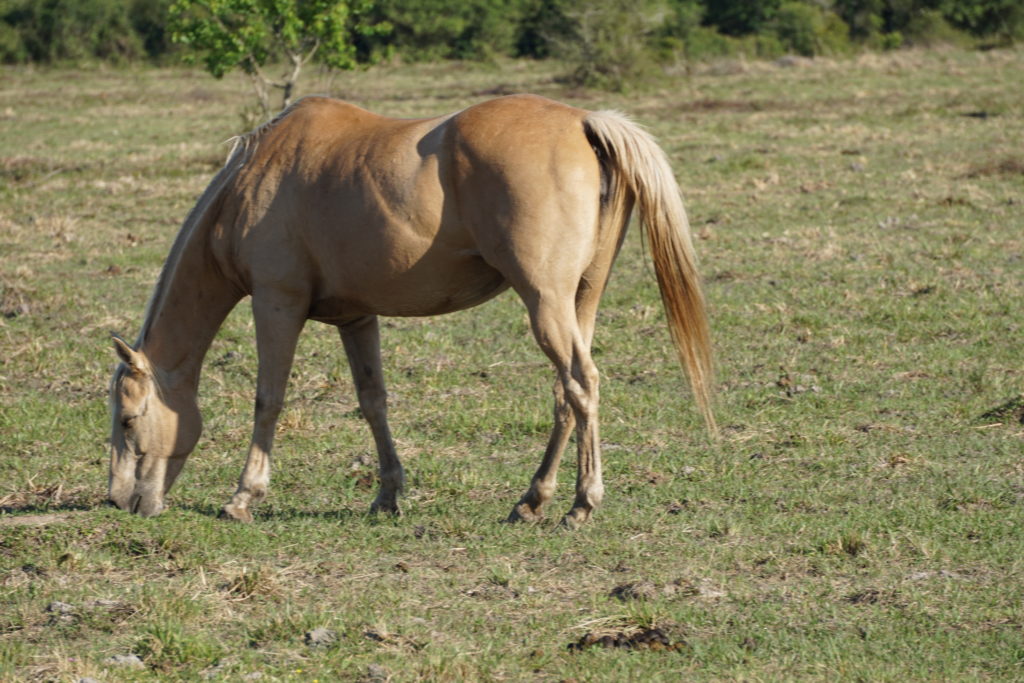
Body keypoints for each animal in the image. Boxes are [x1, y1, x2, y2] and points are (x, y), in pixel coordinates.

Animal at [107, 94, 714, 528]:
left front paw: (243, 496)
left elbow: (268, 401)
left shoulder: (277, 305)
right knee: (566, 394)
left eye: (128, 419)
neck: (254, 181)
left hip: (546, 303)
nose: (119, 501)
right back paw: (532, 501)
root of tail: (584, 122)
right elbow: (373, 402)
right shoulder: (356, 318)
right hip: (577, 302)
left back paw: (582, 503)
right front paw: (388, 496)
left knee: (582, 383)